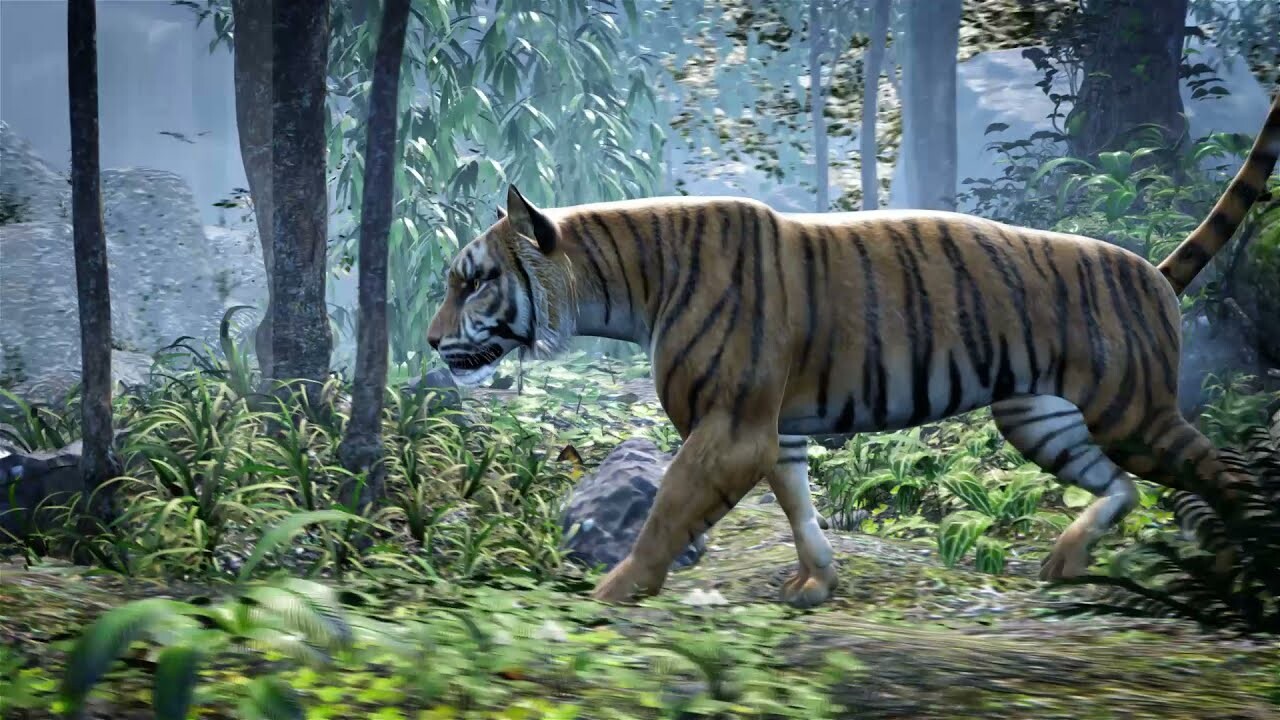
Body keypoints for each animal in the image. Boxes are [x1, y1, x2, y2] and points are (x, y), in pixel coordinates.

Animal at [427, 93, 1280, 608]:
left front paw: (614, 594)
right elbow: (800, 506)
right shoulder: (773, 432)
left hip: (1130, 411)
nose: (431, 341)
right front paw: (817, 581)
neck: (628, 286)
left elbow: (666, 511)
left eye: (472, 281)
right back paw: (1065, 563)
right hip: (1041, 418)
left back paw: (1243, 579)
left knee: (1227, 476)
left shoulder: (730, 428)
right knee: (1120, 486)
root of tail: (1153, 271)